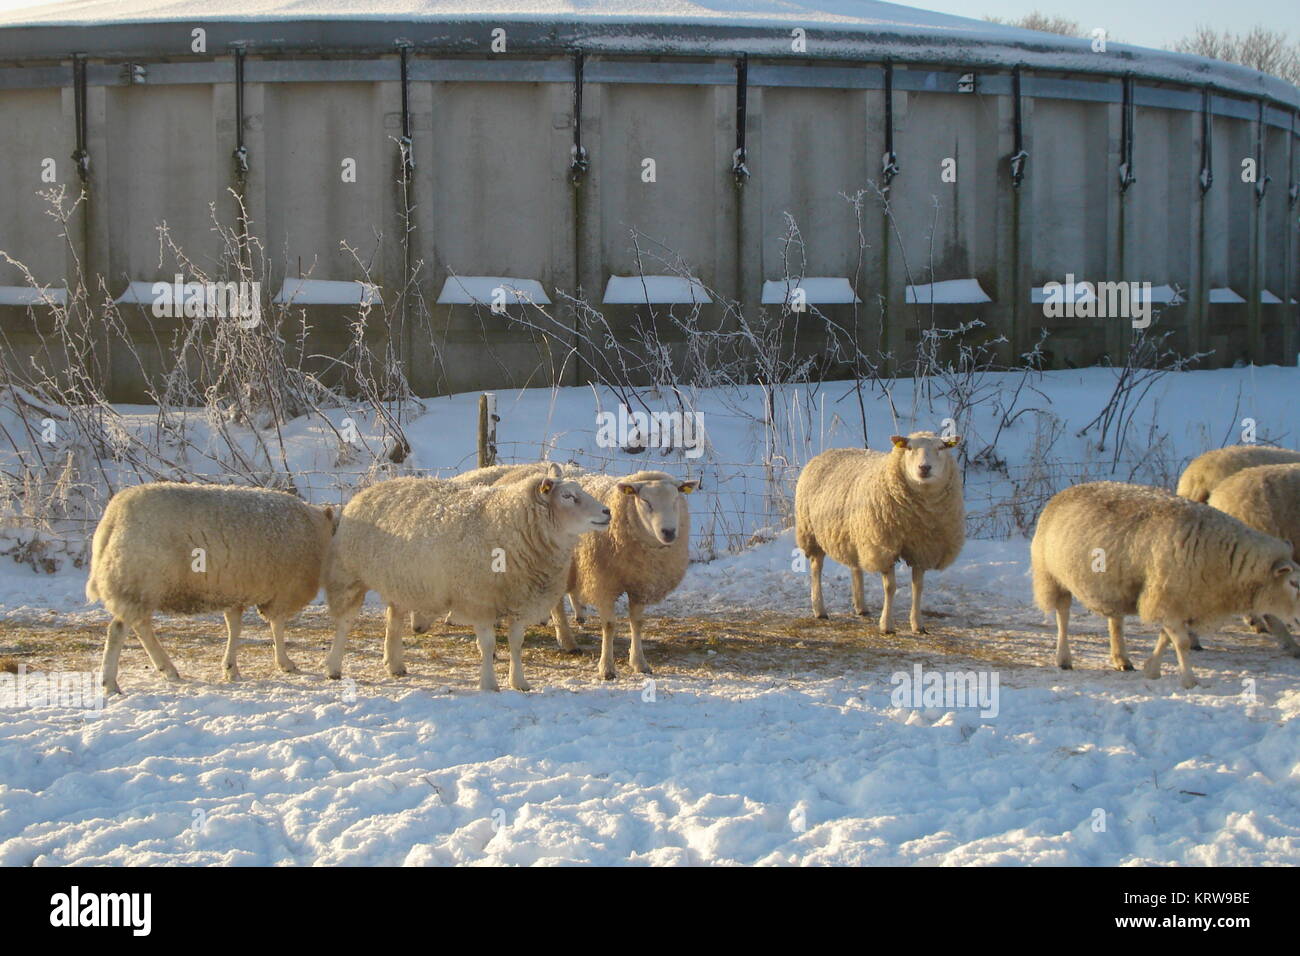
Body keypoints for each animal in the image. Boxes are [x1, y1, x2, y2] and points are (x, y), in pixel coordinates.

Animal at [85, 482, 336, 695]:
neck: (317, 532)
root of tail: (114, 514)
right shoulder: (282, 590)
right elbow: (277, 625)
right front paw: (285, 663)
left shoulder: (235, 590)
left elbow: (234, 628)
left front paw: (231, 668)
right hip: (137, 582)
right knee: (118, 631)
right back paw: (110, 683)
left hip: (141, 587)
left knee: (141, 626)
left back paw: (167, 669)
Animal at [322, 474, 610, 691]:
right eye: (568, 496)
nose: (607, 511)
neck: (512, 525)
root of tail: (369, 490)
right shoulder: (479, 601)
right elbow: (488, 645)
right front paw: (489, 684)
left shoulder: (520, 600)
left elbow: (516, 644)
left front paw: (519, 682)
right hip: (349, 574)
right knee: (345, 623)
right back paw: (334, 667)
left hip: (403, 582)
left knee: (393, 620)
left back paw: (395, 665)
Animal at [795, 432, 964, 635]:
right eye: (909, 448)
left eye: (940, 448)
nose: (924, 468)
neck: (917, 515)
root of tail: (829, 452)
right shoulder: (884, 546)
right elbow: (890, 587)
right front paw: (886, 625)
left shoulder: (922, 548)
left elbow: (918, 587)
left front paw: (918, 624)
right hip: (811, 531)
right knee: (816, 567)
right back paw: (819, 609)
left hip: (854, 535)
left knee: (856, 566)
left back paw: (861, 606)